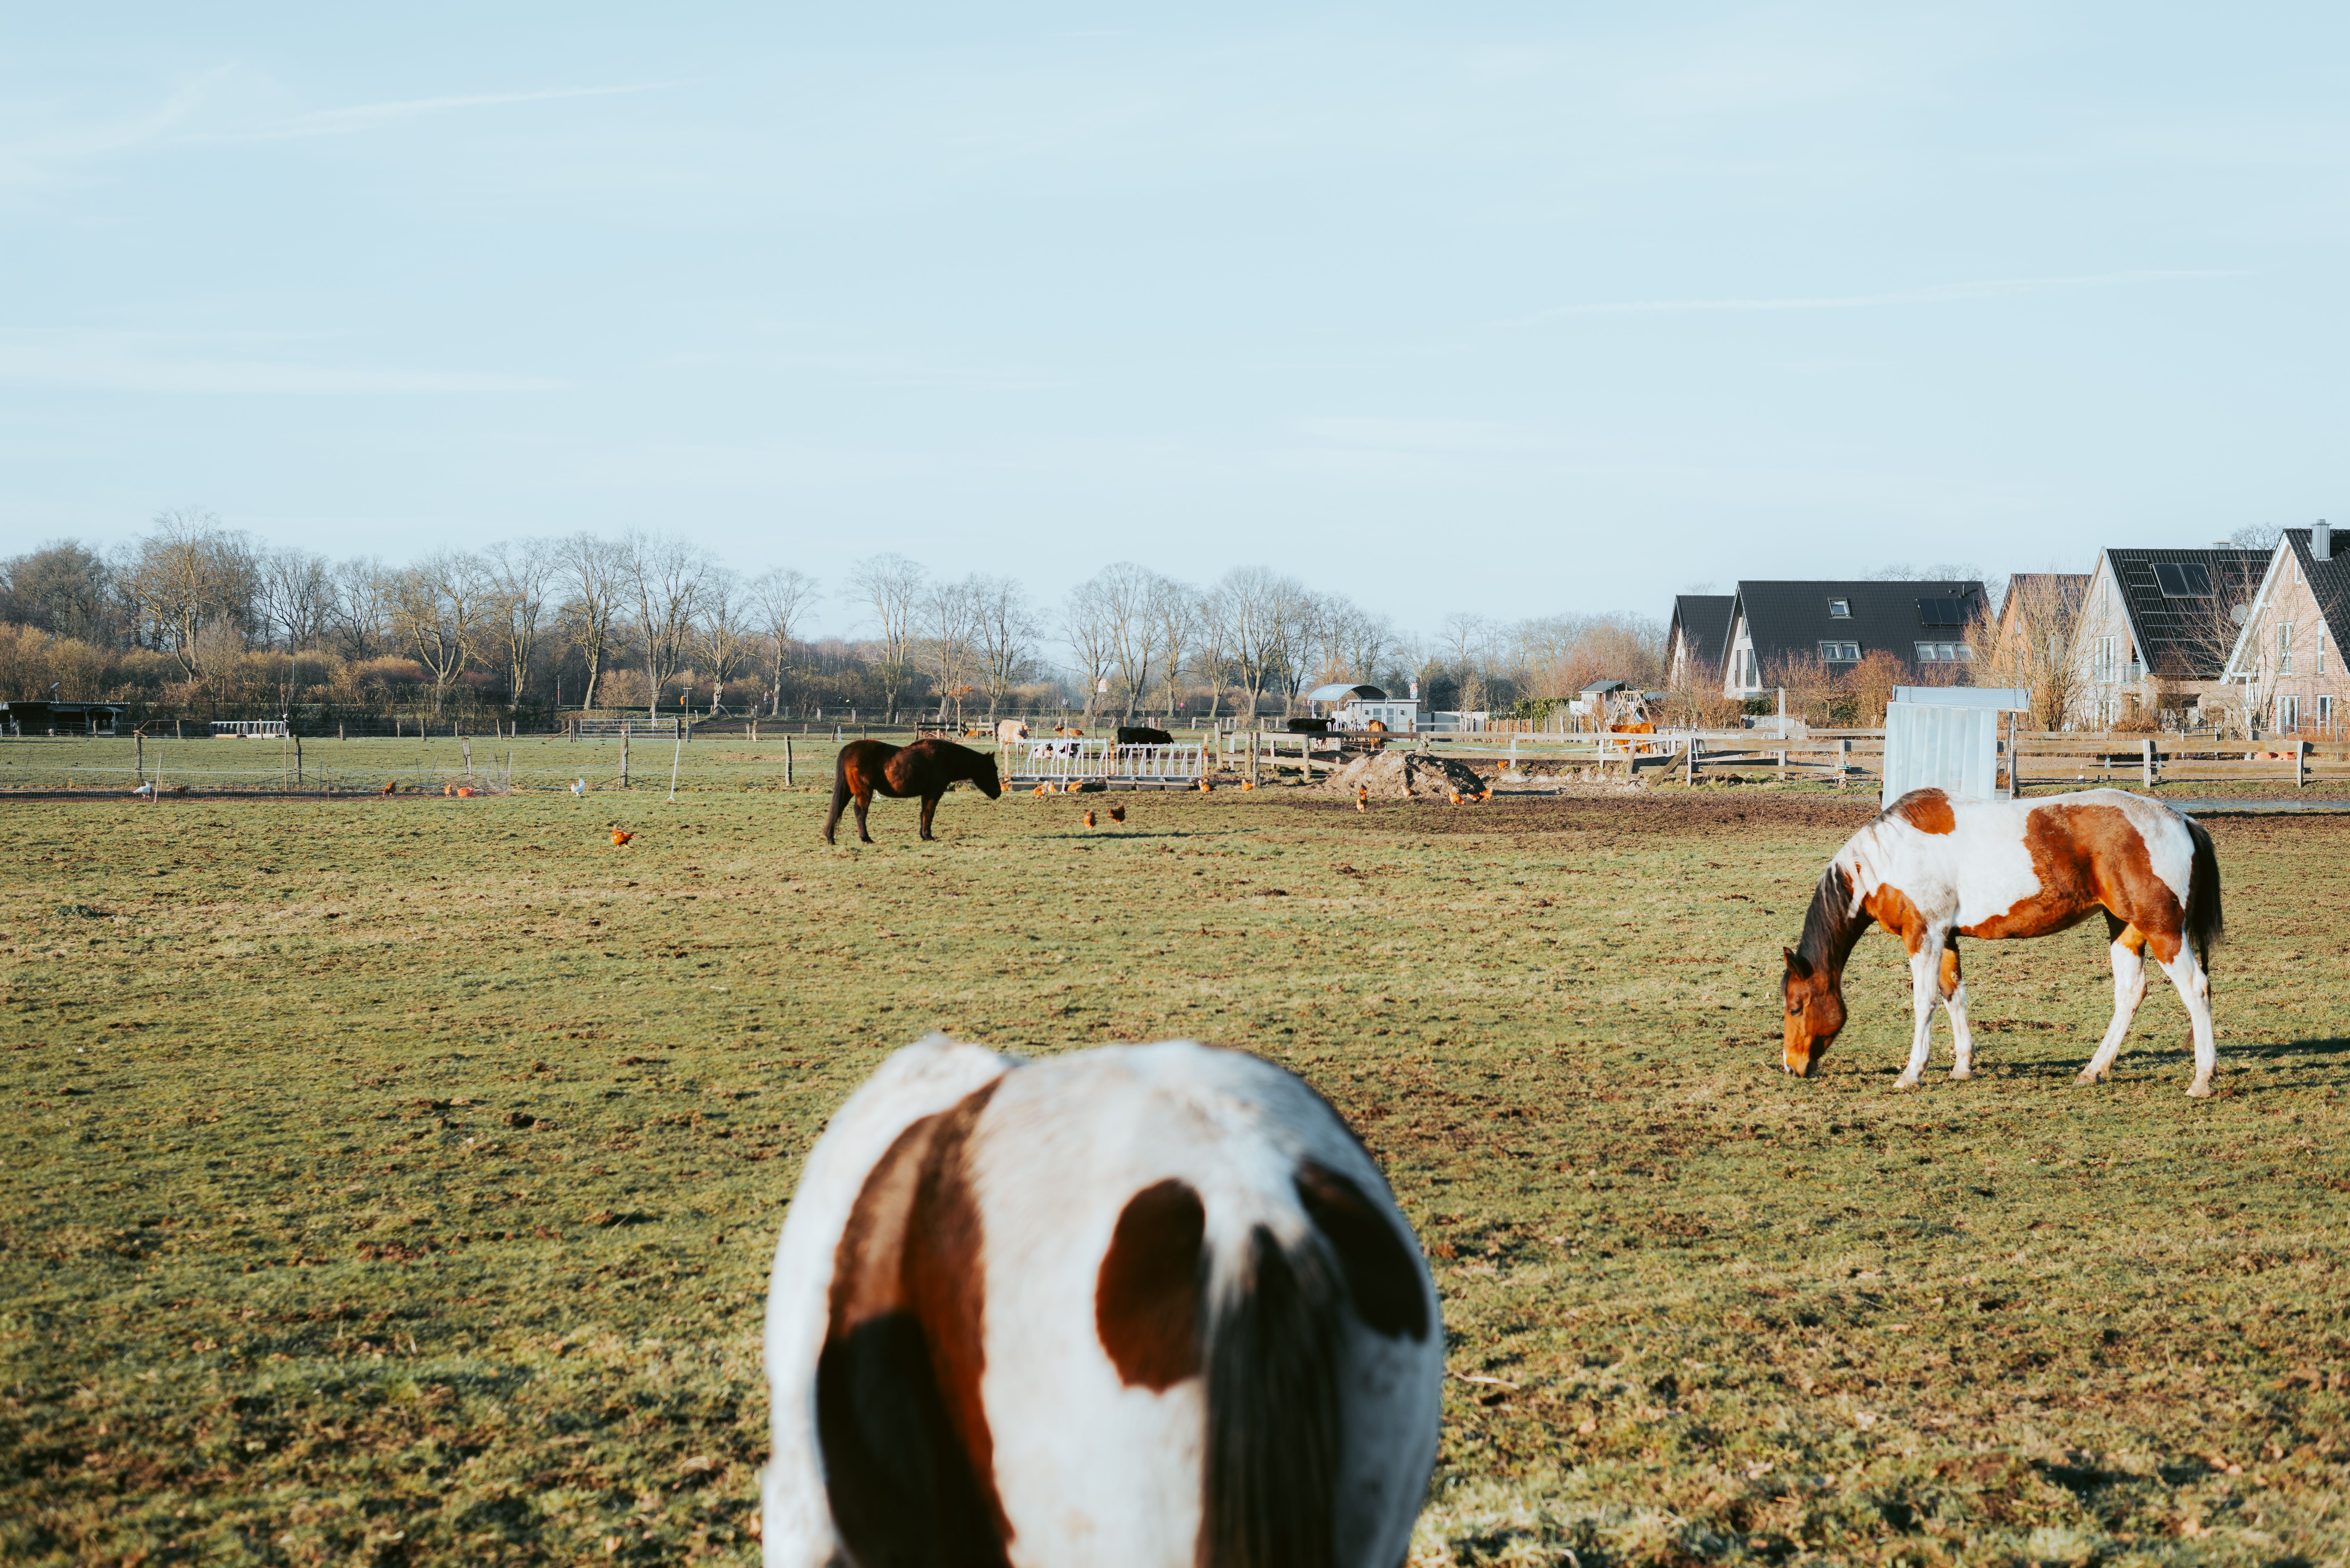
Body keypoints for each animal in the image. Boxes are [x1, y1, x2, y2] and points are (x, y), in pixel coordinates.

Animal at [824, 738, 1003, 845]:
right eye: (993, 769)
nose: (998, 792)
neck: (946, 757)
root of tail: (848, 749)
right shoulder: (934, 793)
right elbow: (929, 813)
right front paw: (928, 836)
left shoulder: (927, 794)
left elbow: (924, 813)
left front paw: (924, 835)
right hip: (864, 793)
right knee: (860, 812)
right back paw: (866, 838)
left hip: (848, 792)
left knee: (838, 810)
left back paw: (831, 837)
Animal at [1782, 787, 2223, 1094]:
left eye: (1795, 1007)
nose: (1791, 1066)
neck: (1893, 855)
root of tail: (2182, 820)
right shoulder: (1946, 938)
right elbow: (1953, 995)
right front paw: (1962, 1066)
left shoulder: (1924, 935)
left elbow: (1924, 1002)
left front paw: (1912, 1073)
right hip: (2125, 928)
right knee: (2130, 994)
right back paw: (2093, 1070)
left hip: (2163, 930)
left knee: (2196, 989)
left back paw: (2202, 1079)